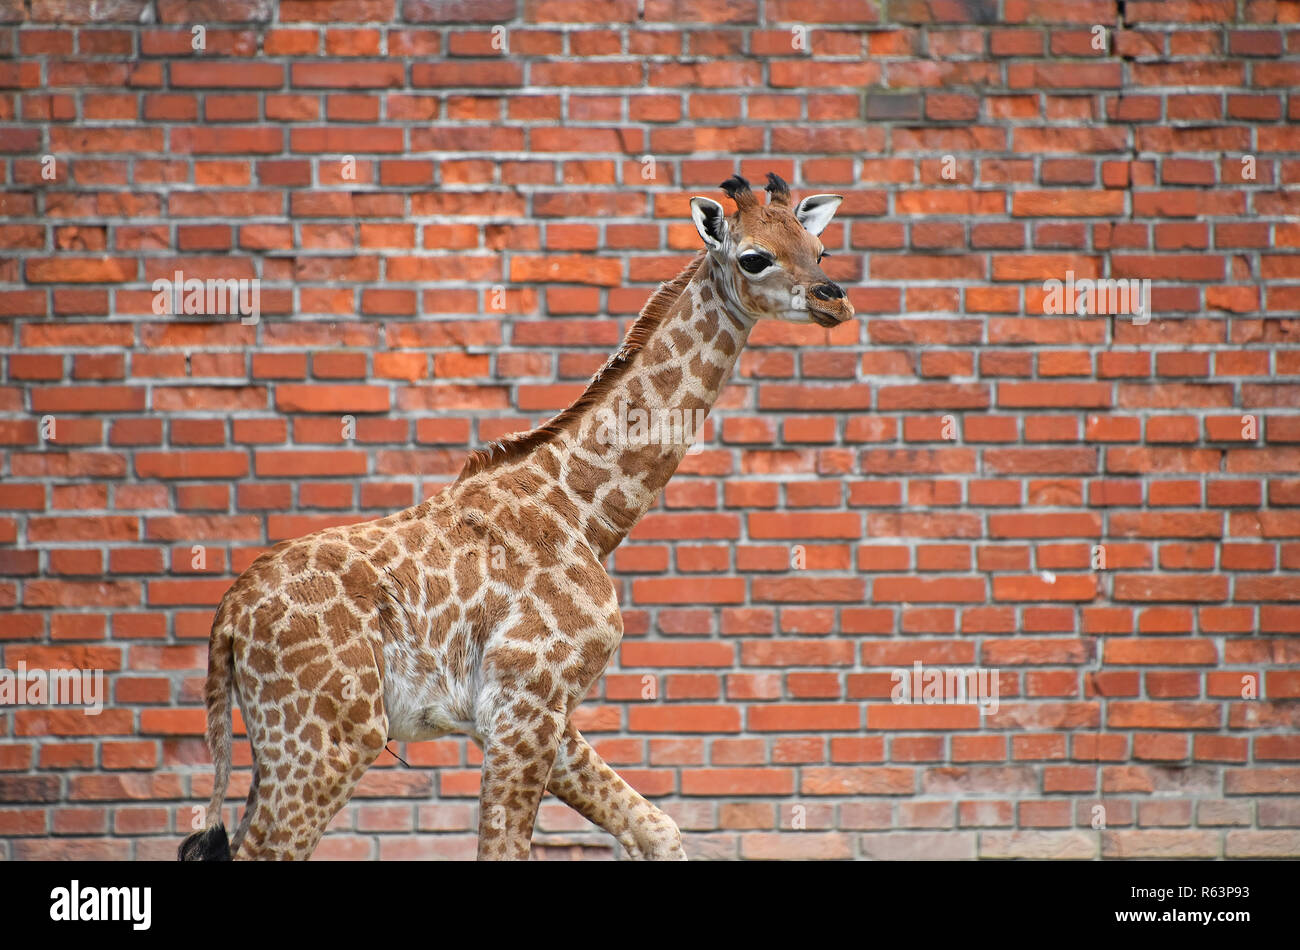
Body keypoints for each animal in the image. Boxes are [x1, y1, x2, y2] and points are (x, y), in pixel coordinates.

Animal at [177, 173, 853, 861]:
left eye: (820, 250)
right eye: (754, 258)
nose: (835, 301)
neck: (584, 512)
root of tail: (227, 620)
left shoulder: (526, 708)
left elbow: (656, 826)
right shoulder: (526, 693)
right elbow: (506, 849)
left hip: (279, 743)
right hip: (329, 736)